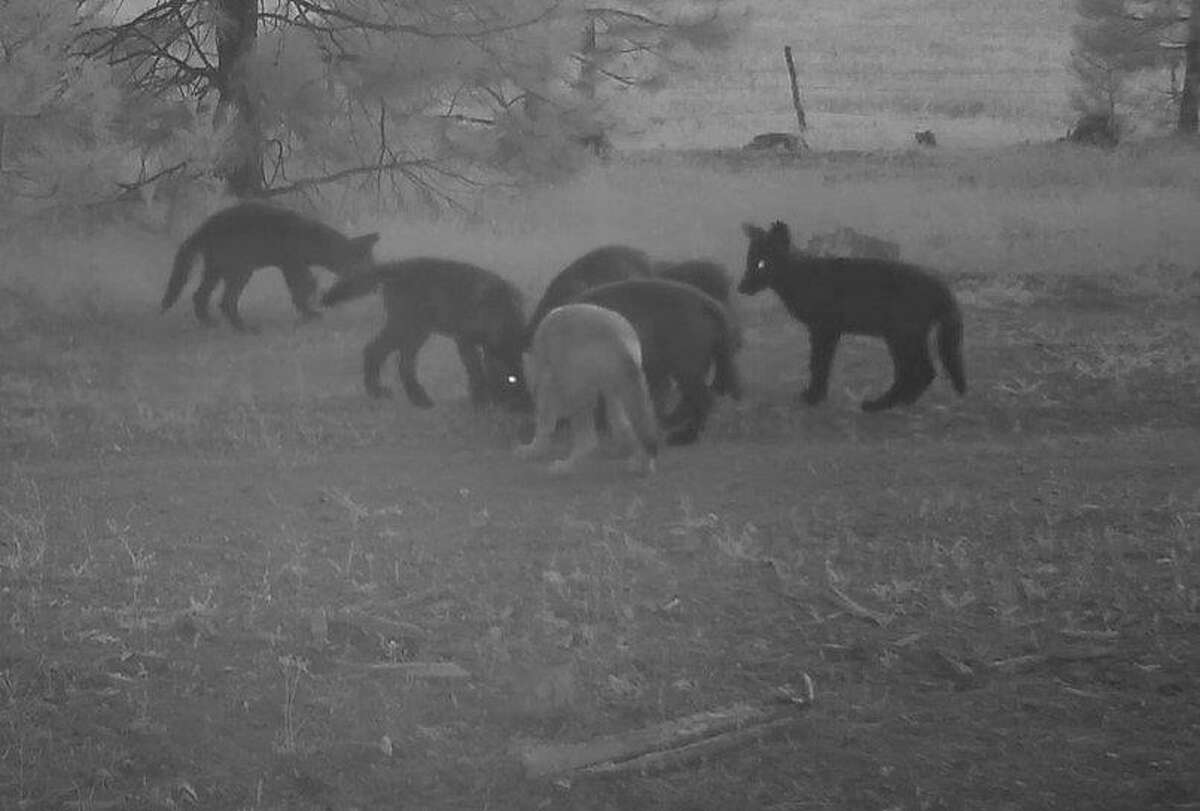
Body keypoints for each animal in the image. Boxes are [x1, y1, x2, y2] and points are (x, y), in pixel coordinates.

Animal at [161, 201, 380, 332]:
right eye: (369, 266)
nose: (376, 286)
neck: (319, 241)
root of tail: (203, 228)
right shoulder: (293, 264)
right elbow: (305, 287)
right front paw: (310, 313)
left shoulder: (289, 266)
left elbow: (302, 289)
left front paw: (308, 312)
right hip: (240, 271)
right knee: (225, 301)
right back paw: (245, 328)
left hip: (216, 270)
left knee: (200, 296)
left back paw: (210, 324)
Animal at [320, 258, 528, 409]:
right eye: (512, 380)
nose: (518, 404)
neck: (501, 312)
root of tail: (397, 265)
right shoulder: (464, 339)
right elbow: (475, 370)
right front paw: (480, 400)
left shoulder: (481, 344)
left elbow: (482, 369)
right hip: (407, 329)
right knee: (378, 352)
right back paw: (387, 394)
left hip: (415, 332)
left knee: (397, 361)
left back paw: (408, 397)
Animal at [515, 303, 658, 476]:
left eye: (533, 391)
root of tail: (618, 337)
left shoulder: (548, 387)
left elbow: (544, 427)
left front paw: (532, 451)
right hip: (617, 394)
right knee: (627, 428)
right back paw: (644, 465)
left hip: (581, 395)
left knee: (589, 441)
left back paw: (564, 467)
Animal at [740, 220, 966, 412]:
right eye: (750, 262)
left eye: (762, 263)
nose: (740, 288)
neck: (801, 276)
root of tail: (941, 286)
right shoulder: (827, 331)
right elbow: (819, 365)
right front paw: (816, 395)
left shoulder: (823, 330)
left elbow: (818, 365)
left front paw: (813, 397)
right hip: (904, 339)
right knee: (922, 372)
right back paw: (900, 402)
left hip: (901, 337)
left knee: (918, 372)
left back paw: (878, 405)